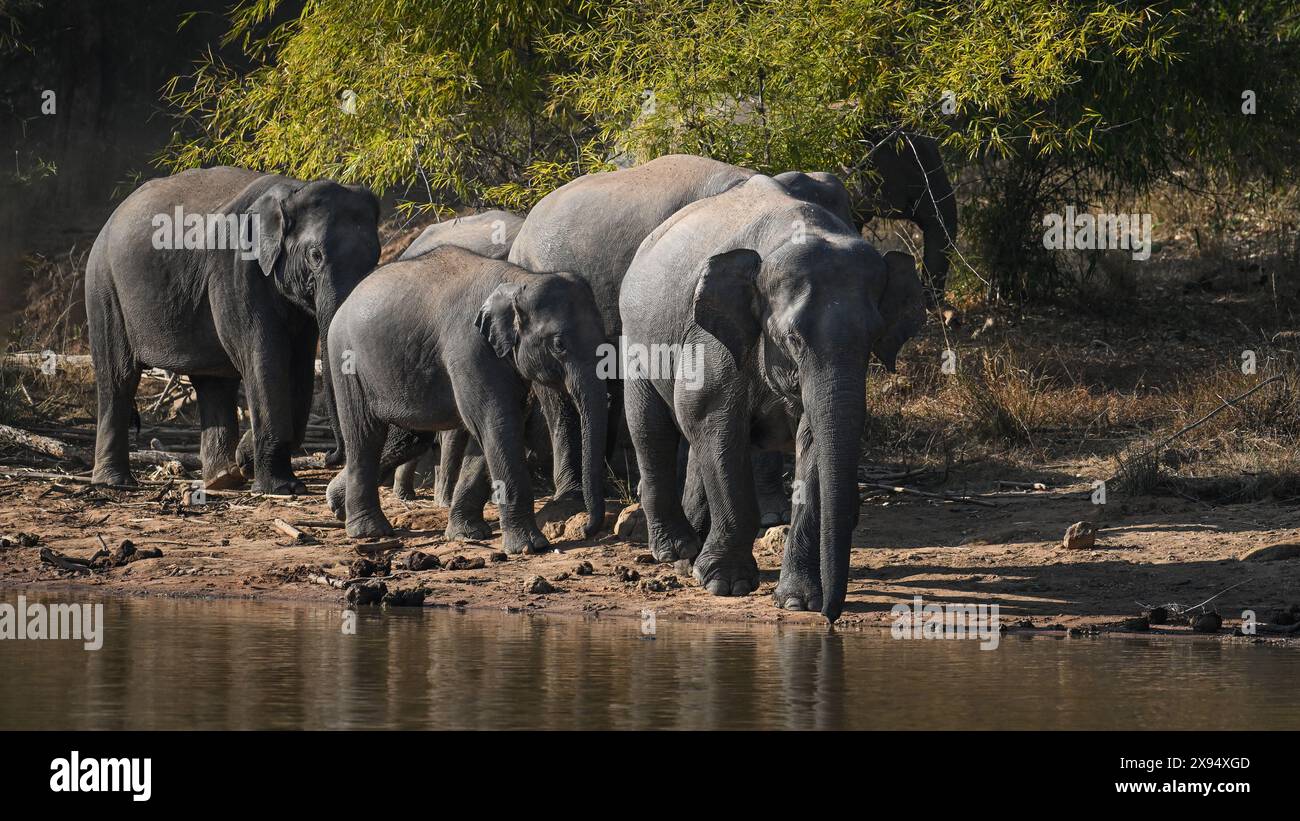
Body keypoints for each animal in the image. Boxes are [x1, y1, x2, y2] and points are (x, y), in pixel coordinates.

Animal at [84, 166, 380, 494]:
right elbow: (264, 357)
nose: (330, 455)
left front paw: (247, 458)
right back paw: (115, 482)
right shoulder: (236, 270)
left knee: (214, 382)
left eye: (376, 257)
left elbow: (298, 364)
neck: (293, 191)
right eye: (315, 256)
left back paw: (223, 478)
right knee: (119, 377)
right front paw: (282, 488)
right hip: (104, 287)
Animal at [324, 245, 608, 549]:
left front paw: (467, 534)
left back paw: (340, 507)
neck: (519, 280)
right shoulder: (469, 348)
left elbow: (491, 429)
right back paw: (369, 531)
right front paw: (531, 546)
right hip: (346, 360)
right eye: (559, 344)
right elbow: (497, 423)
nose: (586, 529)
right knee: (365, 435)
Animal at [619, 174, 925, 621]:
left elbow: (811, 443)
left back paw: (689, 559)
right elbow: (712, 419)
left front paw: (799, 601)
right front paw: (726, 585)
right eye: (793, 337)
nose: (831, 616)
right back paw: (675, 552)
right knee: (651, 424)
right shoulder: (713, 338)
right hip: (637, 334)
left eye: (873, 337)